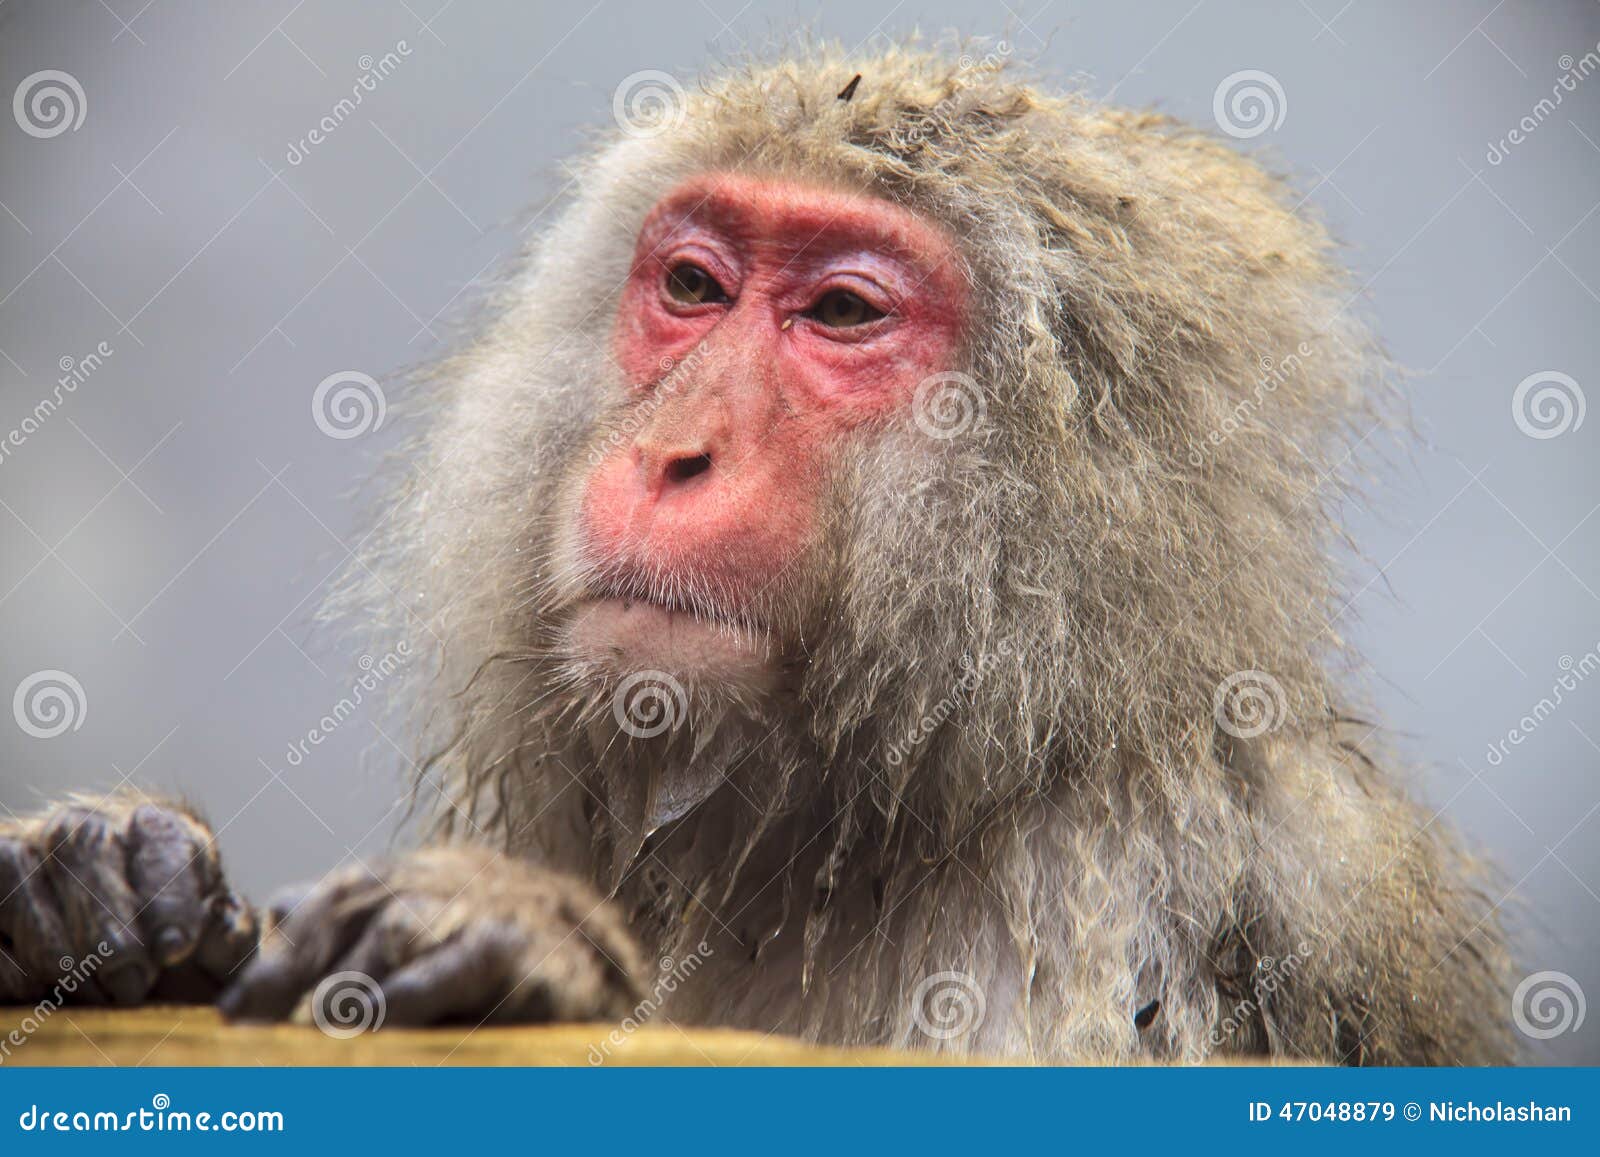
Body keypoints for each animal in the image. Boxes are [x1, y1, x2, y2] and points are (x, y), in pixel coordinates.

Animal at [0, 43, 1512, 1064]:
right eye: (691, 286)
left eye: (839, 310)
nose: (674, 453)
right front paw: (108, 875)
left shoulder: (1168, 889)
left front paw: (514, 944)